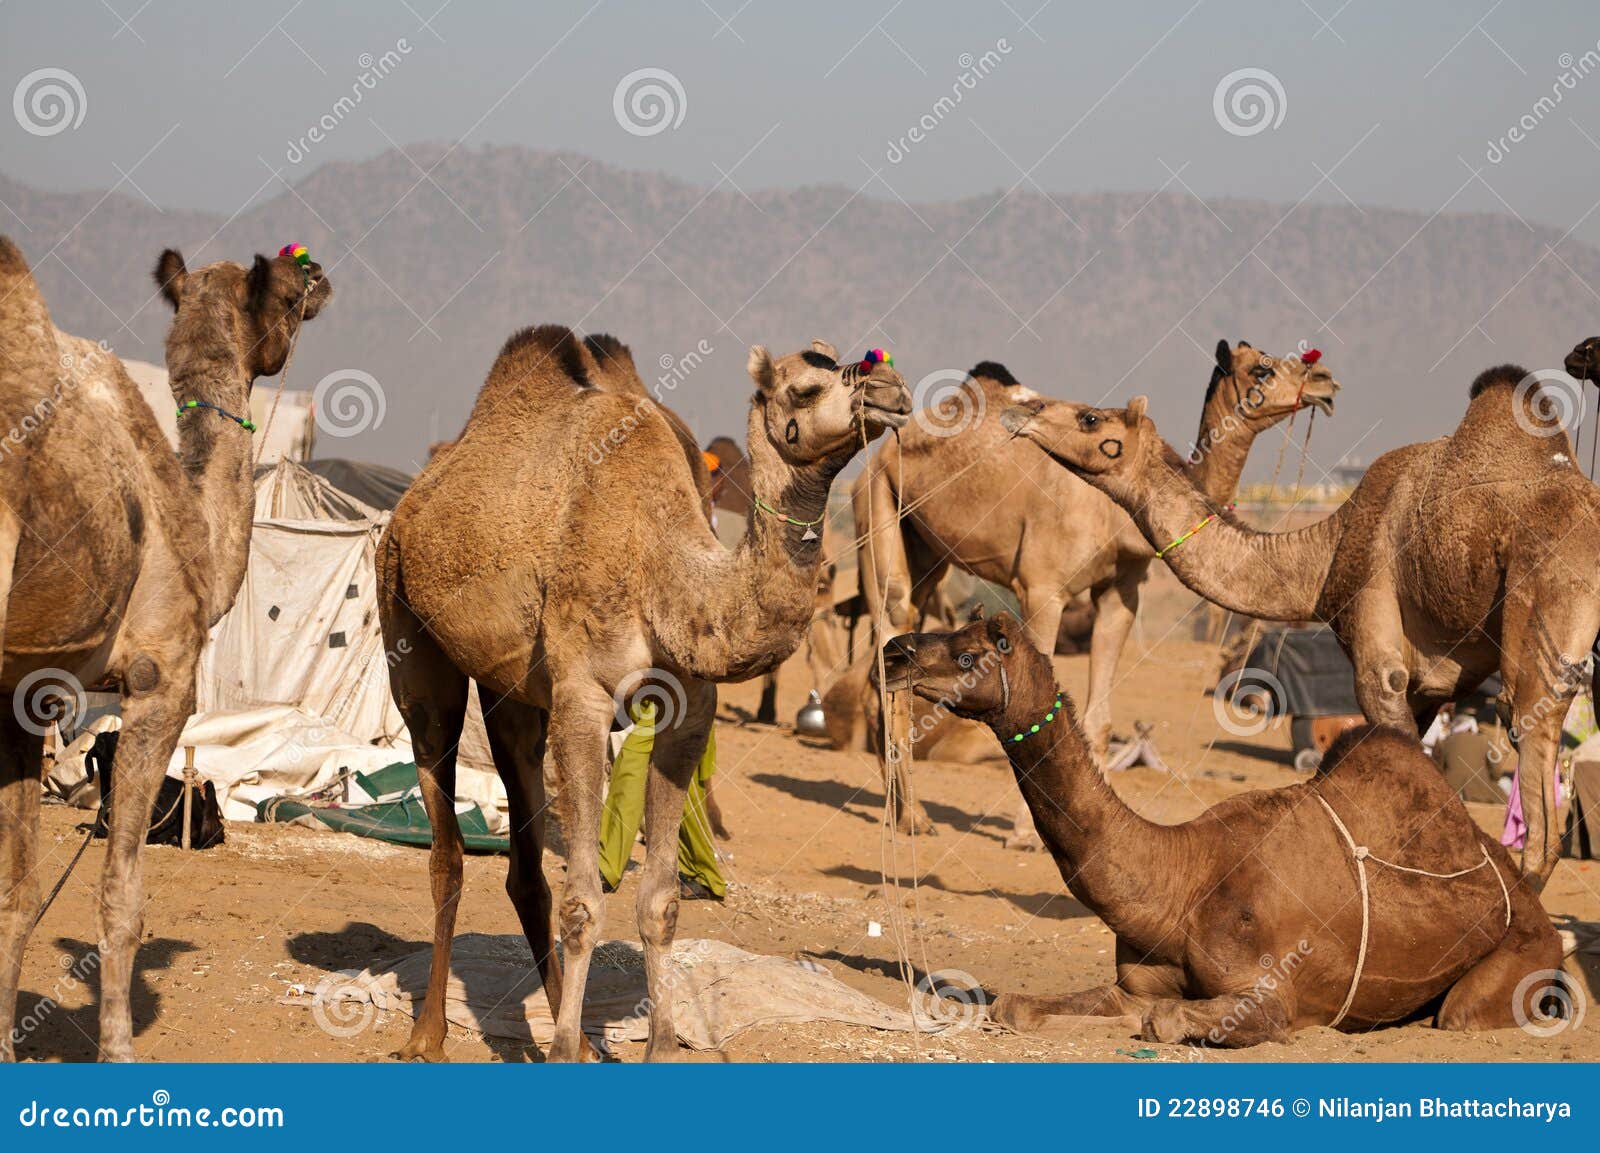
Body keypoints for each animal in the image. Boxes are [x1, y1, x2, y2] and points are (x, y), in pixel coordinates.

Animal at [0, 237, 331, 1060]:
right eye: (285, 292)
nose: (319, 275)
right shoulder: (162, 683)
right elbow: (122, 892)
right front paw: (117, 1045)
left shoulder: (19, 696)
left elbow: (18, 891)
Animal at [377, 329, 910, 1062]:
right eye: (805, 387)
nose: (892, 389)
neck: (664, 569)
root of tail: (416, 496)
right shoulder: (583, 697)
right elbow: (583, 902)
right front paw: (563, 1051)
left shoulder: (689, 713)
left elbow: (659, 899)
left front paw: (654, 1045)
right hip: (407, 630)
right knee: (447, 842)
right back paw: (428, 1031)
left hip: (513, 694)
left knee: (524, 866)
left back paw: (568, 1029)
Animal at [854, 344, 1338, 843]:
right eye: (1262, 367)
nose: (1325, 380)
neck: (1115, 514)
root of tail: (882, 453)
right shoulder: (1042, 589)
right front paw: (1024, 834)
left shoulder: (1121, 592)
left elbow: (1099, 719)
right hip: (876, 499)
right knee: (892, 627)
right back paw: (914, 818)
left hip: (929, 550)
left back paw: (896, 811)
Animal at [877, 614, 1563, 1044]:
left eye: (968, 655)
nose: (894, 651)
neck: (1182, 881)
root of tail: (1522, 889)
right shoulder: (1136, 986)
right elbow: (1018, 1005)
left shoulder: (1272, 995)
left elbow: (1168, 1022)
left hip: (1526, 953)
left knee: (1464, 1014)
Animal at [1000, 366, 1600, 887]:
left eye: (1089, 419)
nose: (1021, 411)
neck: (1322, 555)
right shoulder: (1427, 684)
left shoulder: (1377, 658)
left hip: (1547, 603)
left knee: (1537, 798)